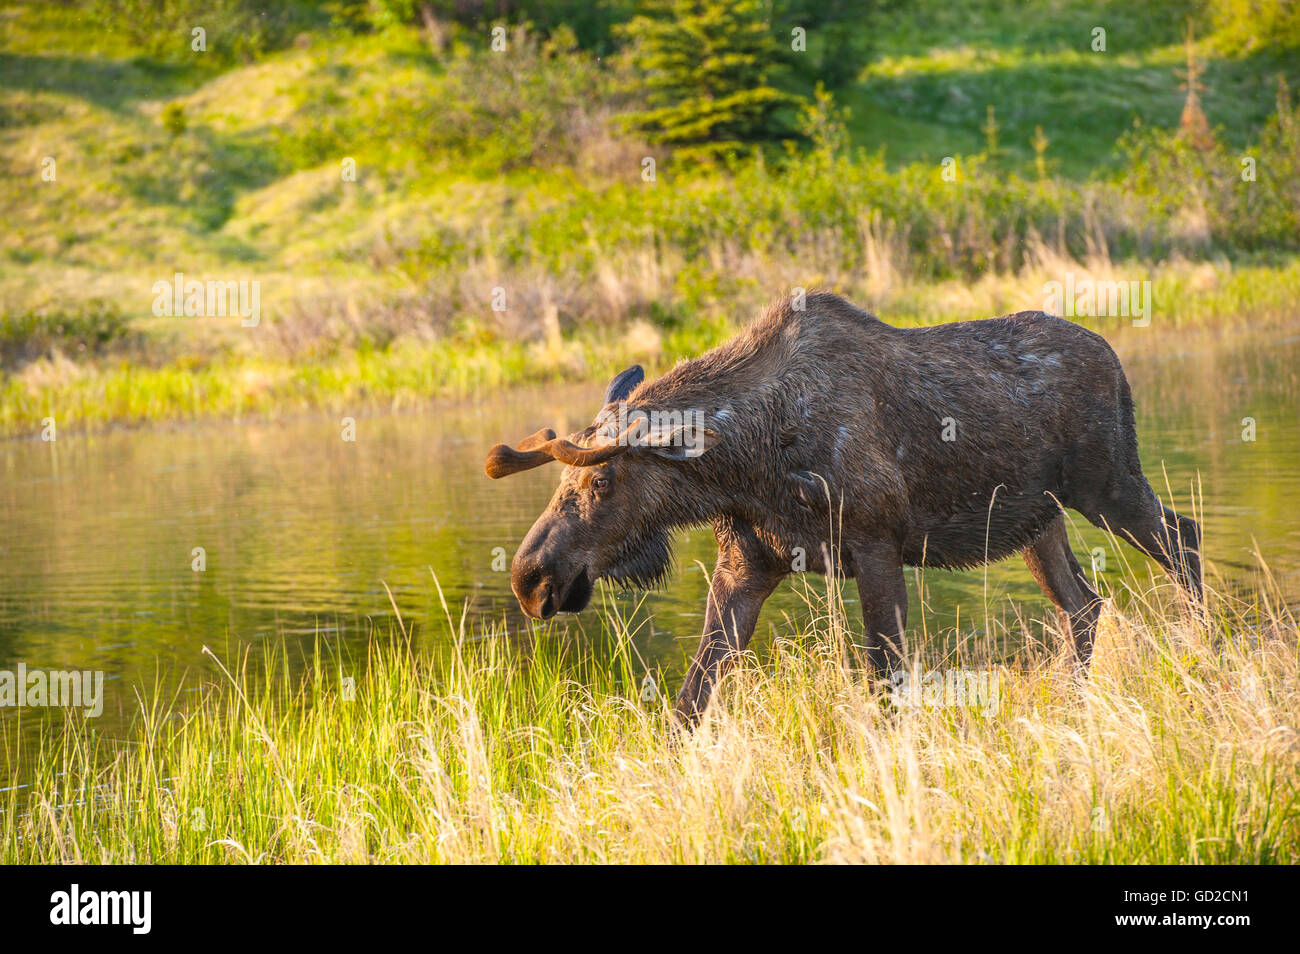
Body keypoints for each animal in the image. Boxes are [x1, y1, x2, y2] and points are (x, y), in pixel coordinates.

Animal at [485, 293, 1202, 724]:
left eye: (603, 483)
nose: (529, 577)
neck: (745, 464)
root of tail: (1115, 359)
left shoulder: (877, 542)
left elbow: (886, 682)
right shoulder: (746, 564)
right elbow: (691, 699)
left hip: (1107, 483)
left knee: (1183, 537)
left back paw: (1204, 657)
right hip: (1036, 521)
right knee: (1084, 603)